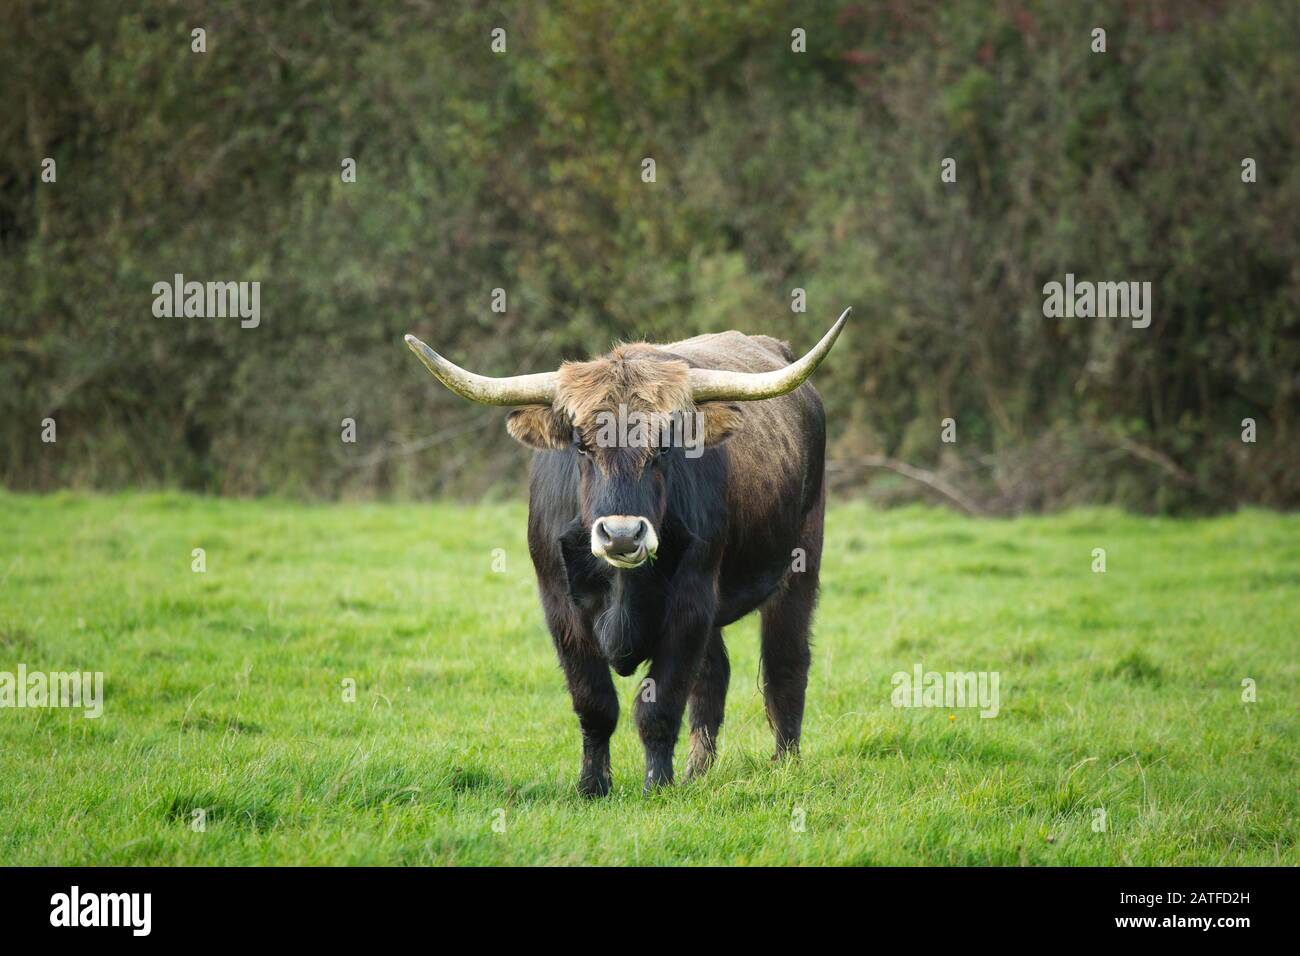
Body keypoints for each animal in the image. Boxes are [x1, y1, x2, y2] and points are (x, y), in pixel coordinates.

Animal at [405, 308, 849, 795]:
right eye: (581, 444)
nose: (621, 535)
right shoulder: (562, 611)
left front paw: (658, 785)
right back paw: (697, 771)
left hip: (800, 565)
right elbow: (595, 704)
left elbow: (659, 706)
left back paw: (785, 764)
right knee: (714, 677)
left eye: (664, 445)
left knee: (785, 664)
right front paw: (592, 786)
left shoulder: (690, 605)